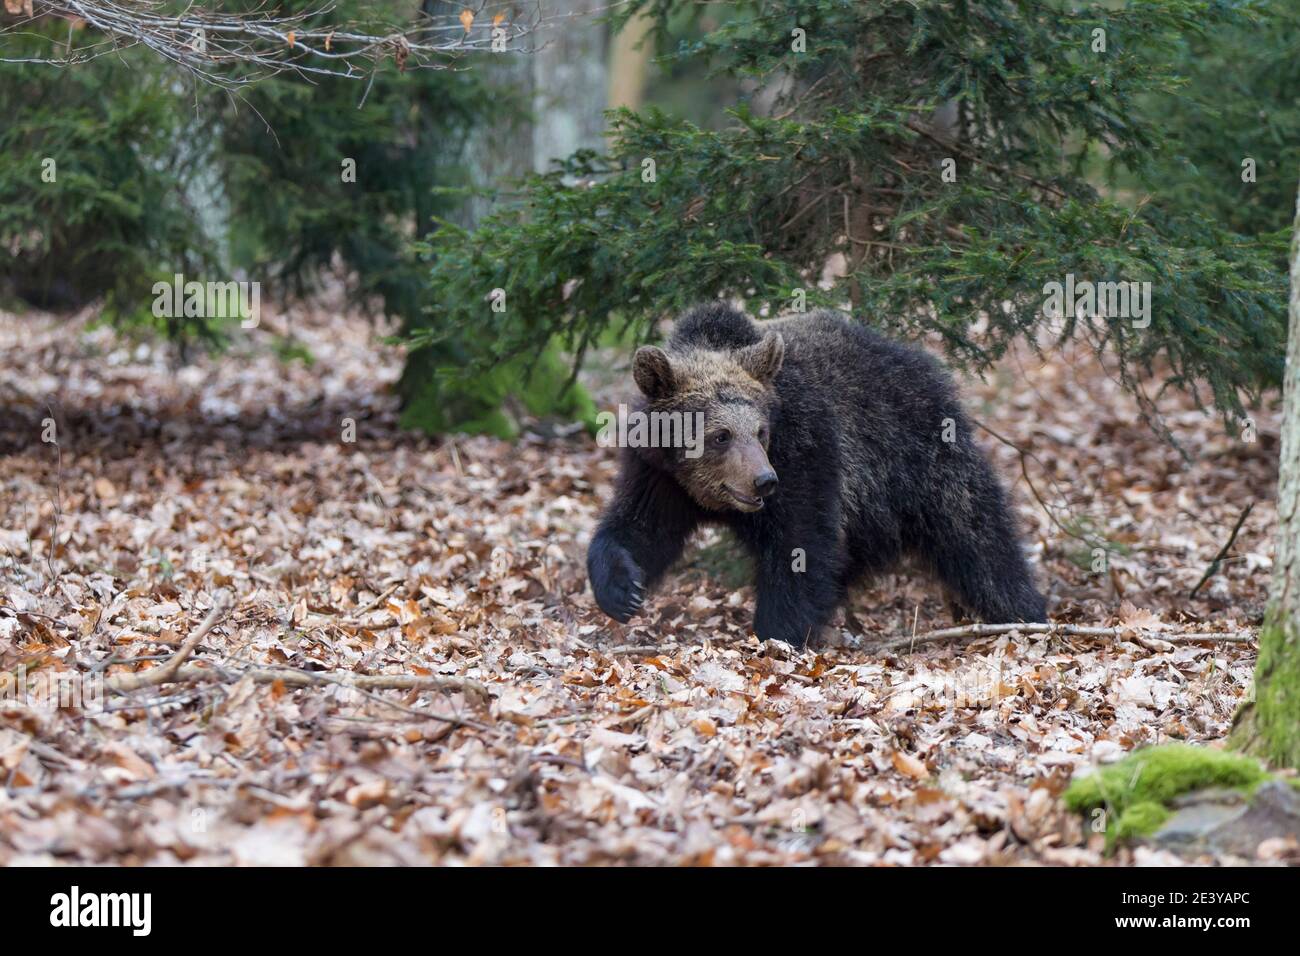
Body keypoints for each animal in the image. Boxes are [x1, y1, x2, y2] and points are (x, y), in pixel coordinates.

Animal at [586, 303, 1047, 647]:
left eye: (760, 431)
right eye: (720, 435)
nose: (763, 480)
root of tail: (921, 359)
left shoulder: (805, 453)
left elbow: (801, 543)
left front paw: (777, 633)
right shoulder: (658, 474)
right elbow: (640, 529)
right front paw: (621, 590)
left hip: (919, 452)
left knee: (975, 531)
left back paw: (1021, 609)